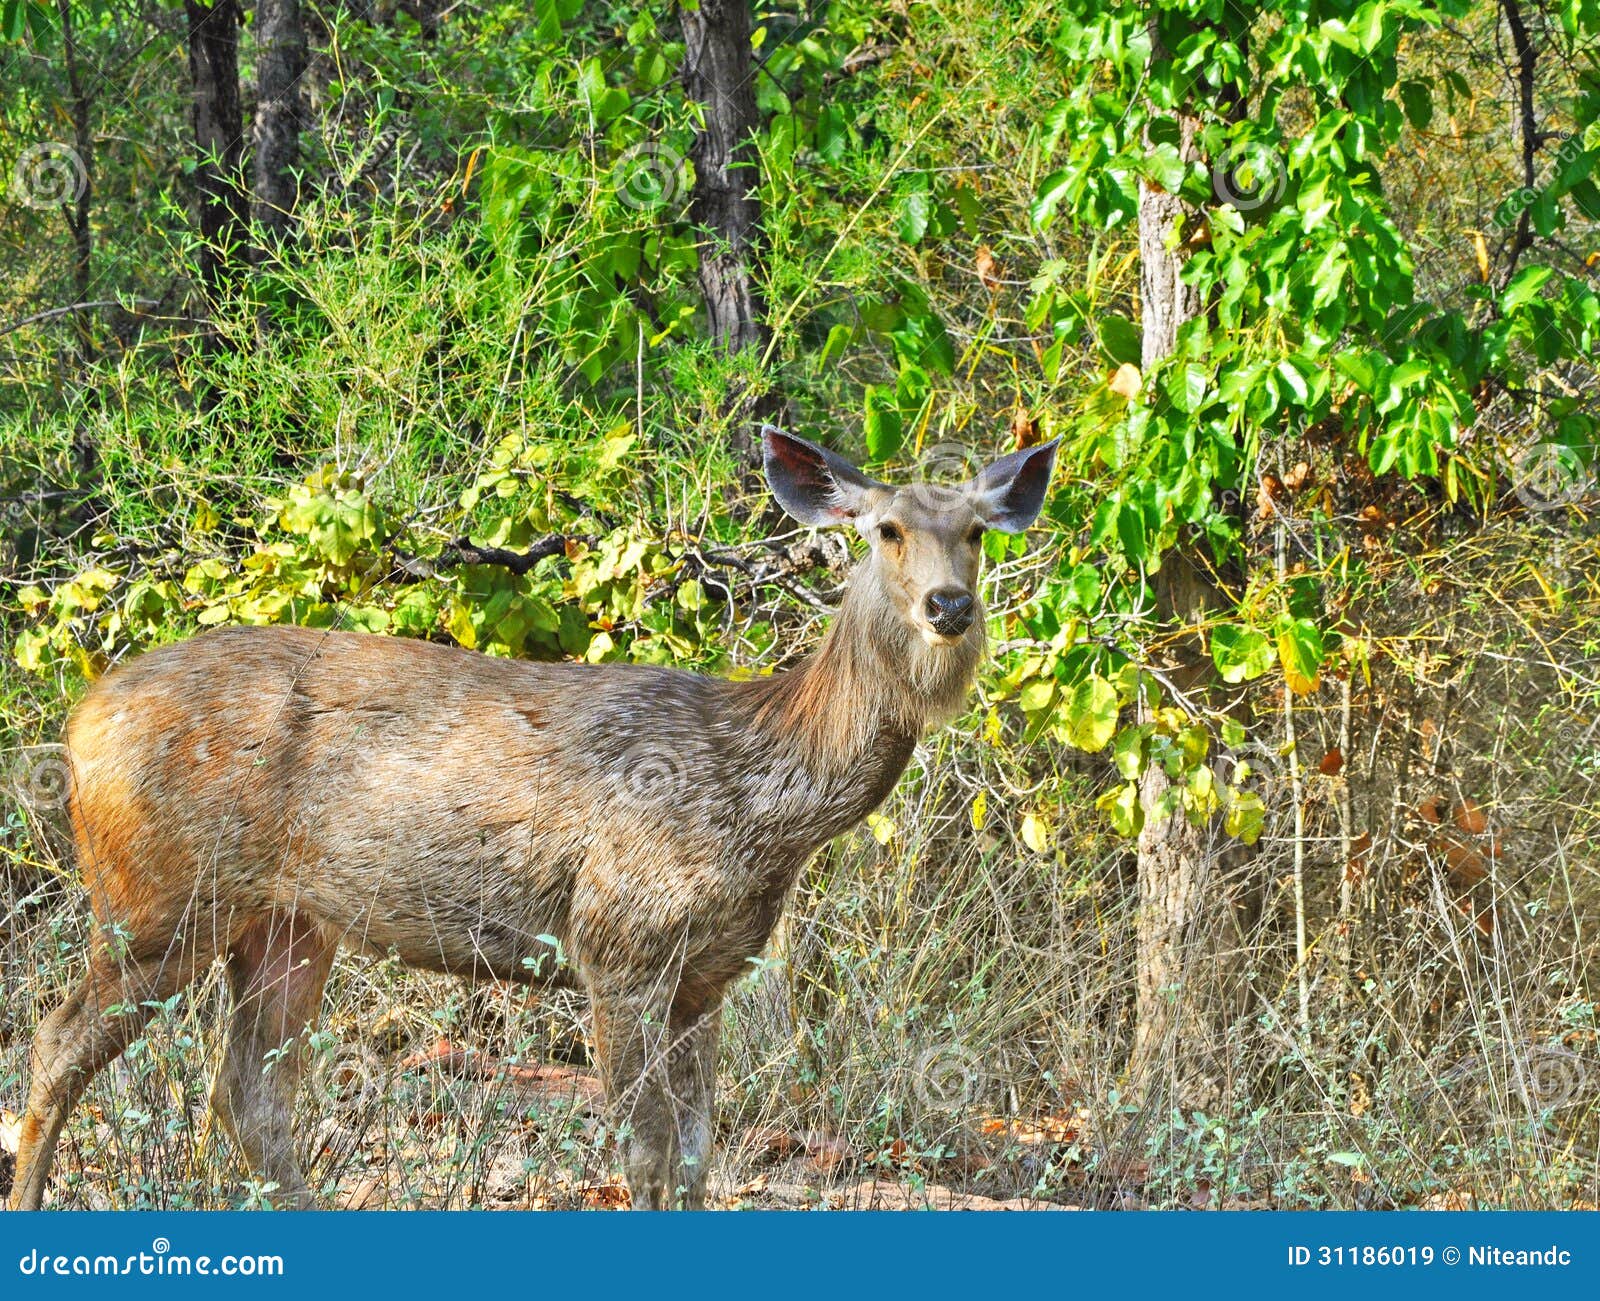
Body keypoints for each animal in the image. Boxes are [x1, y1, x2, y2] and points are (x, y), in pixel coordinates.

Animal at [7, 426, 1057, 1211]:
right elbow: (645, 1157)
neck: (763, 803)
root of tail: (80, 721)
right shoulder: (619, 942)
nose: (948, 604)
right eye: (886, 529)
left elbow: (696, 1159)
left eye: (976, 531)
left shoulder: (705, 975)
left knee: (249, 1095)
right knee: (58, 1041)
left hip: (289, 922)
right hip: (157, 892)